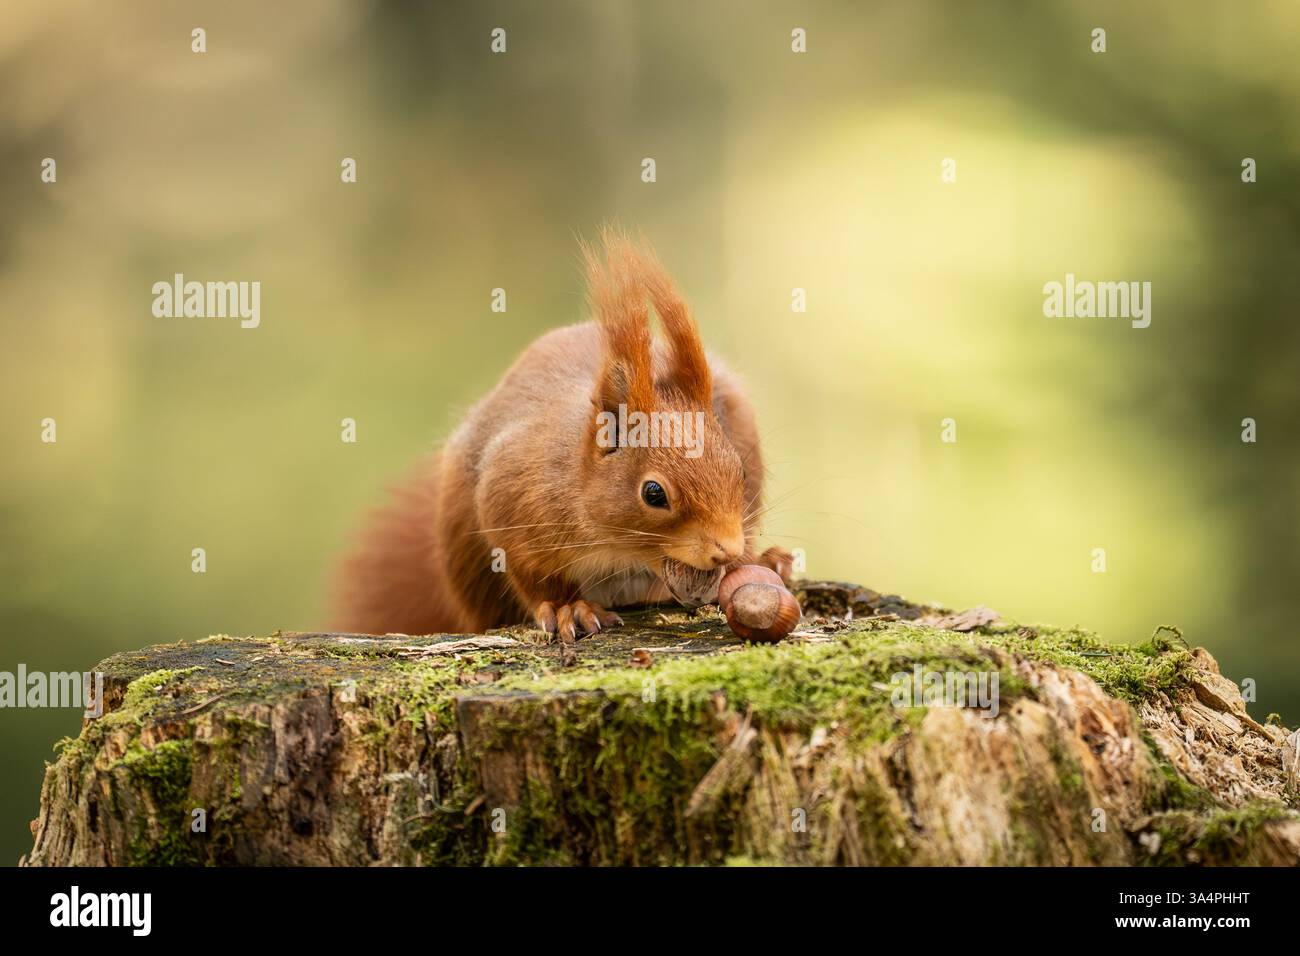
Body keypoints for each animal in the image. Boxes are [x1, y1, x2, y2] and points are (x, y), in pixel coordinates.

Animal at [334, 230, 792, 641]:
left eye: (740, 474)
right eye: (654, 494)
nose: (726, 550)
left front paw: (754, 562)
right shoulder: (511, 497)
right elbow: (531, 571)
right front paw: (565, 607)